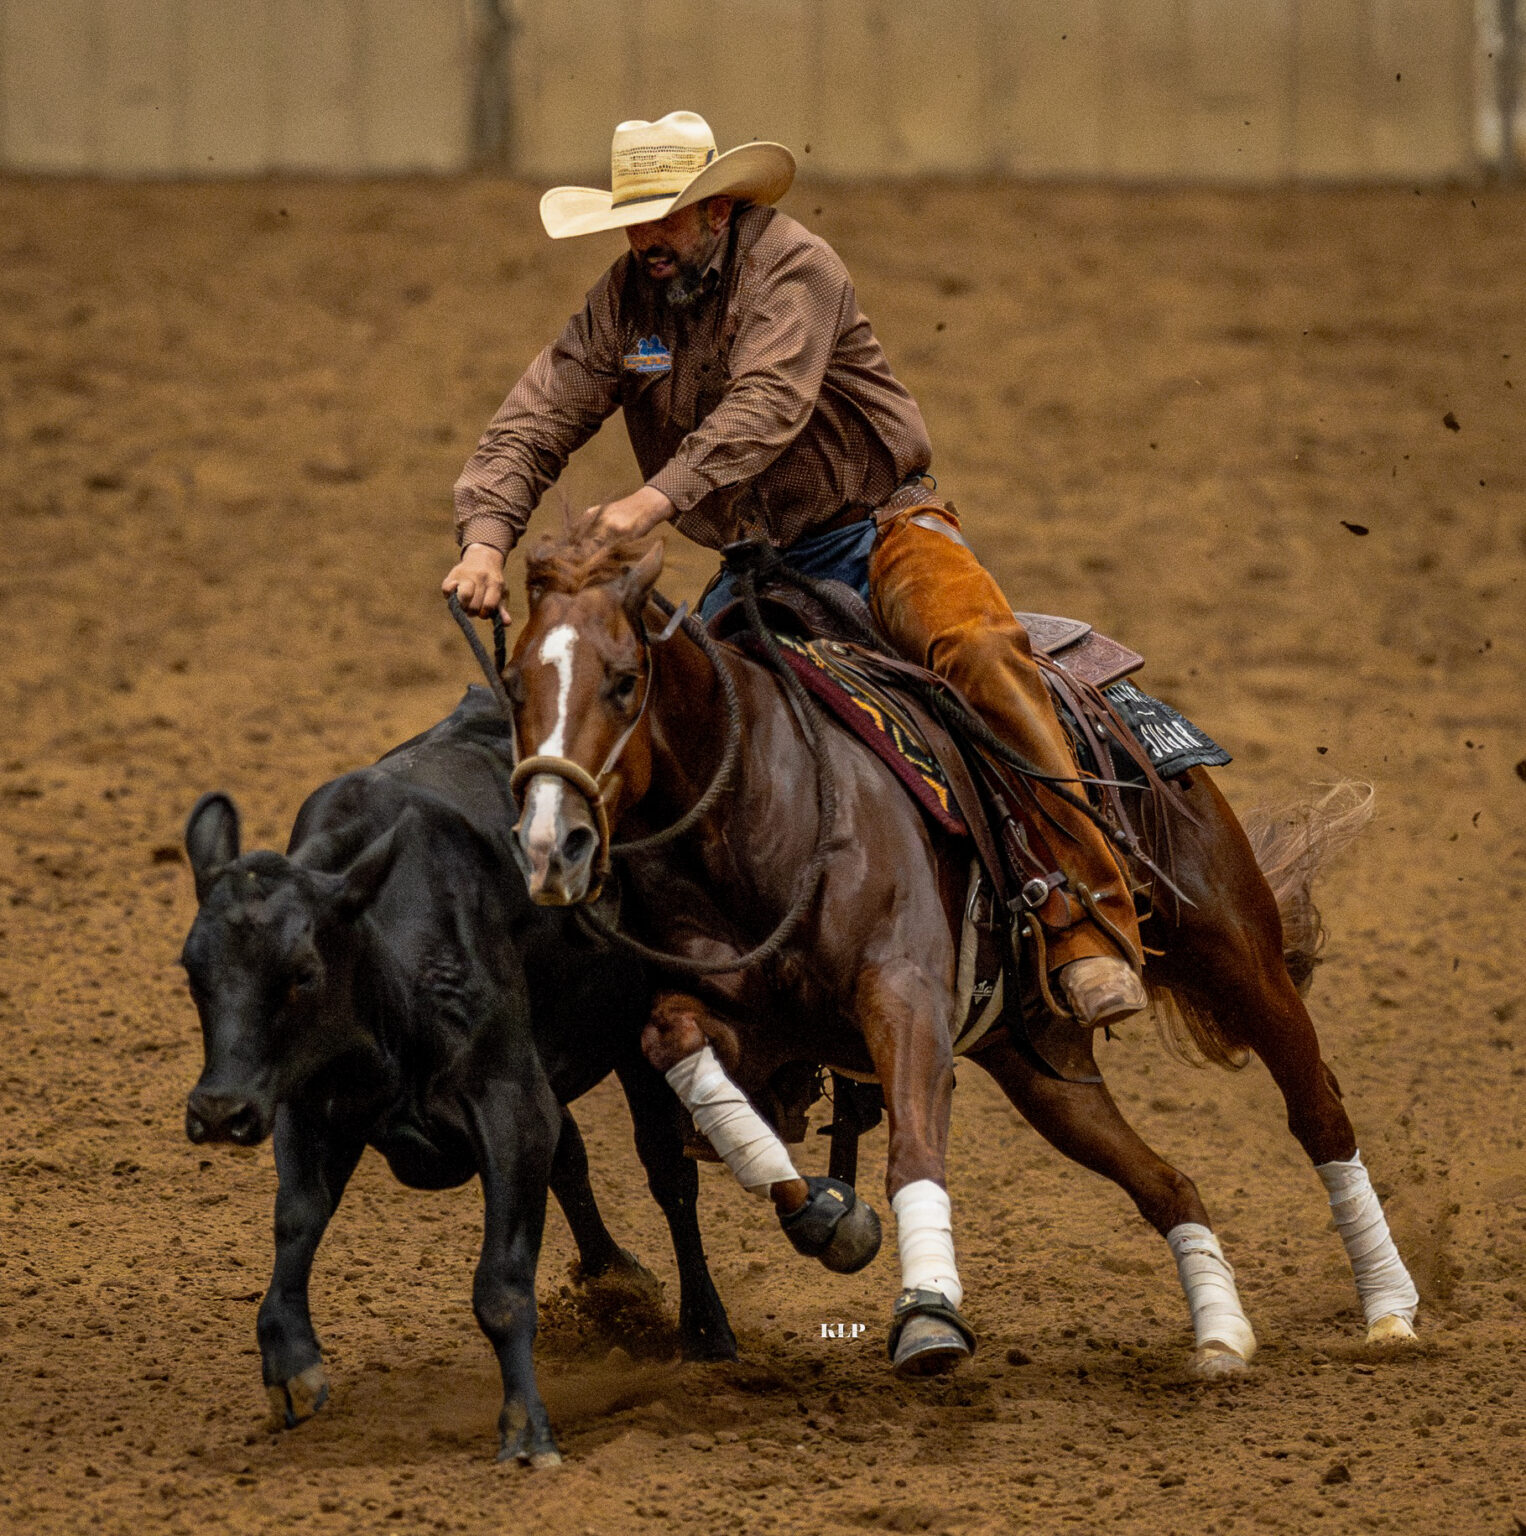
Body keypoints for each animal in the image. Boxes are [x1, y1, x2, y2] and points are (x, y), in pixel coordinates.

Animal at [498, 530, 1419, 1377]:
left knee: (1319, 1111)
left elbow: (913, 1147)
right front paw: (826, 1216)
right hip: (1038, 1067)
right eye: (513, 685)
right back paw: (1222, 1337)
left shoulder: (903, 998)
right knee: (1169, 1183)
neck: (764, 807)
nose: (550, 844)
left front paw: (928, 1311)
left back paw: (1389, 1310)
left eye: (623, 680)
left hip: (1237, 955)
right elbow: (682, 1052)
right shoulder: (745, 1026)